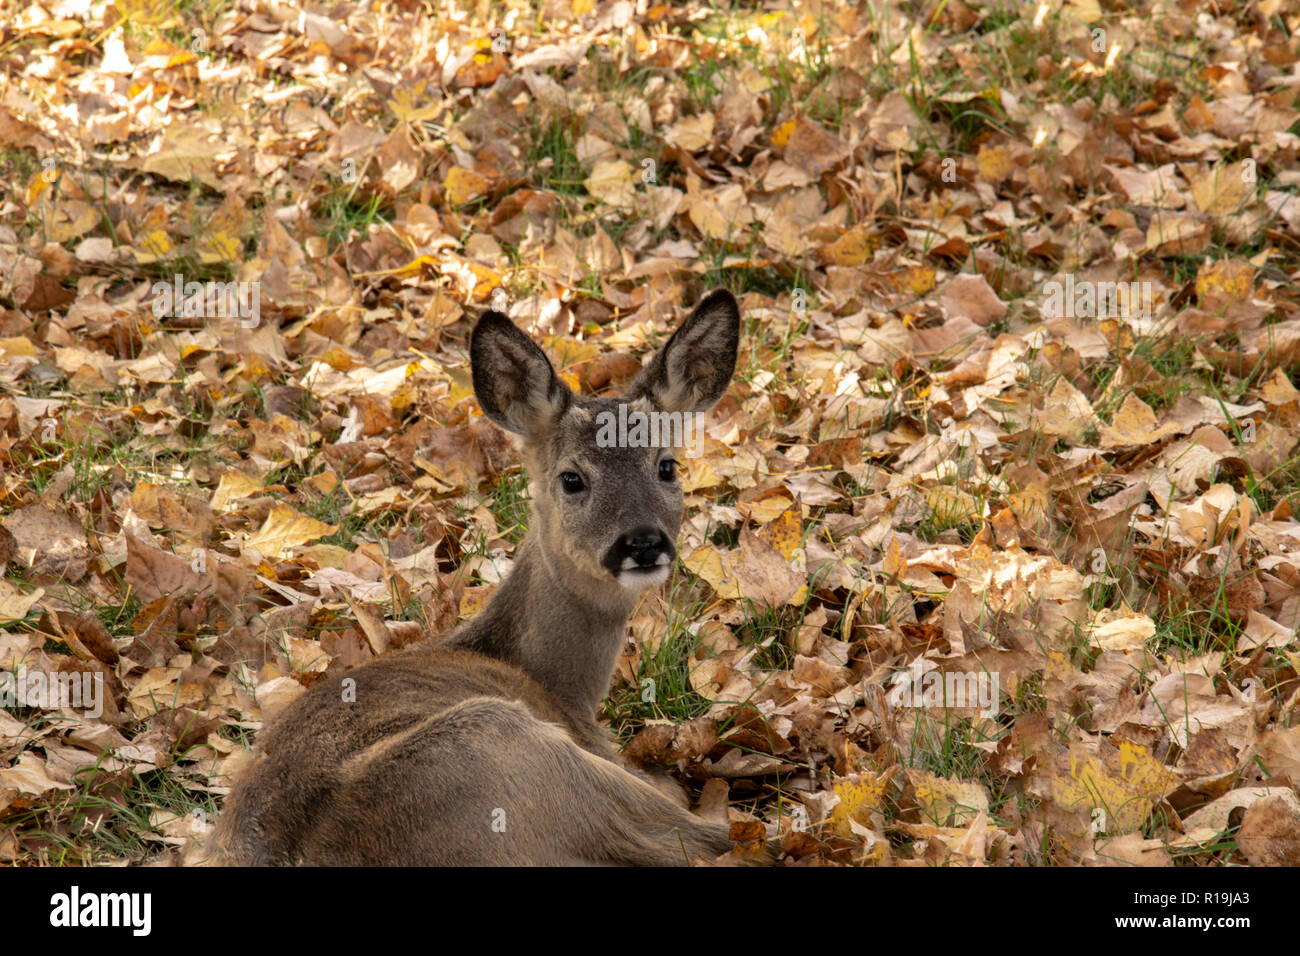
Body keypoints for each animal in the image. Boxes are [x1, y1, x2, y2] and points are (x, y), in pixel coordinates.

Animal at [210, 289, 746, 865]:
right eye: (571, 478)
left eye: (668, 466)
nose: (643, 542)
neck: (558, 686)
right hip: (506, 743)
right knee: (707, 837)